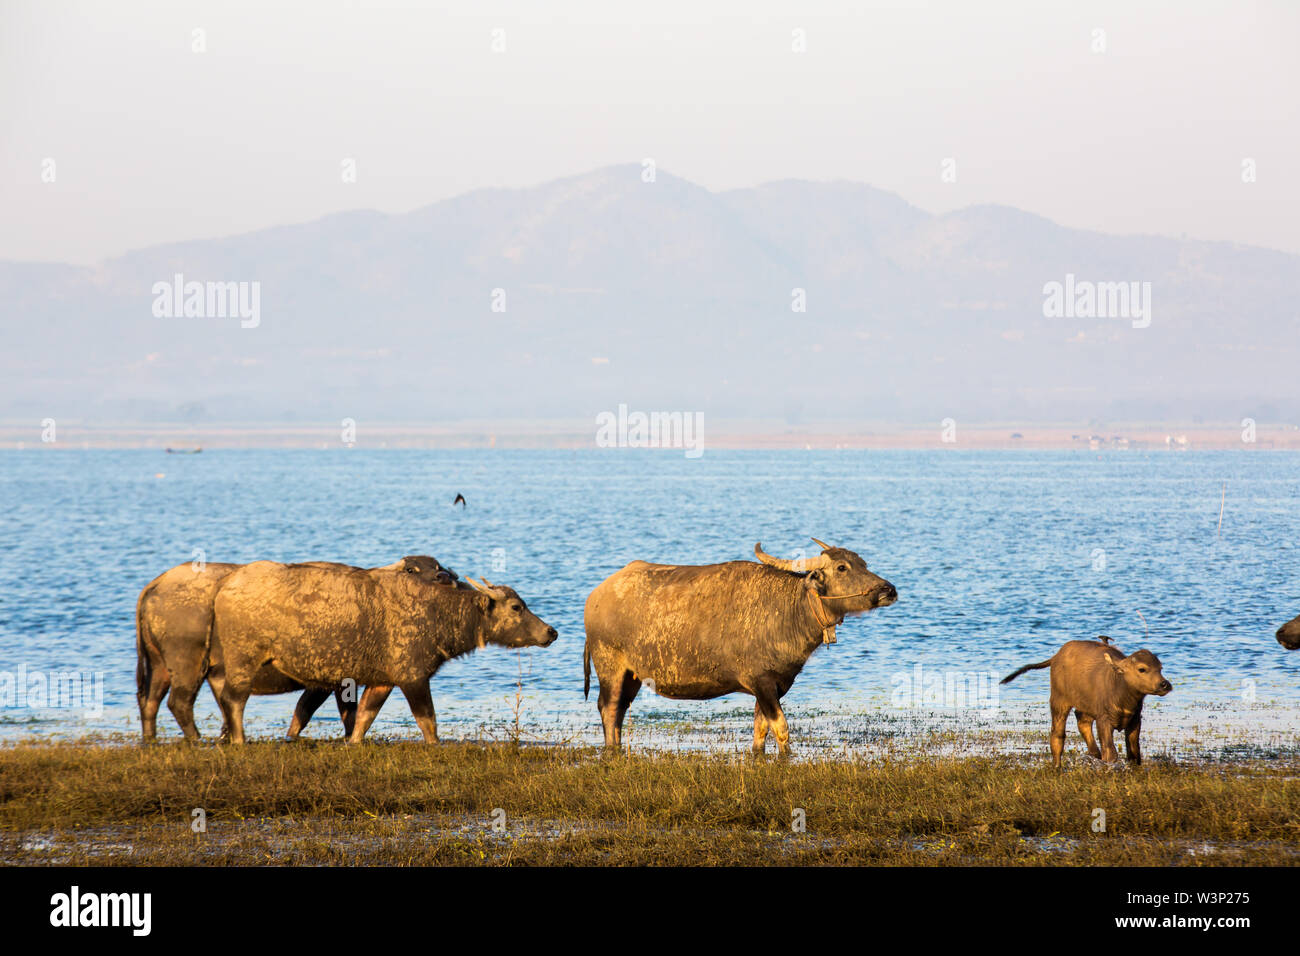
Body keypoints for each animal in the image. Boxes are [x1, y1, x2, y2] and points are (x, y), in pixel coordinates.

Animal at [135, 555, 458, 740]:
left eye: (438, 566)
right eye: (411, 569)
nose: (444, 578)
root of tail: (156, 584)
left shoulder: (341, 681)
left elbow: (339, 712)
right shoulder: (326, 680)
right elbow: (307, 709)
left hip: (161, 665)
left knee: (150, 701)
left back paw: (152, 740)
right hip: (188, 664)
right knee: (180, 702)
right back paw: (198, 740)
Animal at [209, 562, 557, 743]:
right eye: (517, 607)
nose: (551, 632)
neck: (438, 614)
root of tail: (225, 588)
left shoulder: (383, 680)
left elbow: (364, 717)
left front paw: (353, 743)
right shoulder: (413, 677)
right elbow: (428, 721)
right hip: (244, 661)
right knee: (233, 700)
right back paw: (239, 740)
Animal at [583, 539, 897, 754]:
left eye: (864, 563)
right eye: (842, 567)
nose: (888, 590)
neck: (787, 611)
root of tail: (595, 596)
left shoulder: (774, 686)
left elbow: (761, 730)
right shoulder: (761, 682)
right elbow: (781, 729)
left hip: (632, 676)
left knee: (620, 711)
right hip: (610, 668)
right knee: (609, 709)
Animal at [1000, 638, 1173, 767]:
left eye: (1160, 668)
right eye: (1142, 669)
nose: (1164, 684)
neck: (1121, 693)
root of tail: (1055, 657)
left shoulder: (1135, 719)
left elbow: (1134, 752)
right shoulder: (1104, 720)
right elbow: (1111, 752)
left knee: (1082, 720)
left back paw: (1094, 753)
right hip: (1059, 700)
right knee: (1058, 733)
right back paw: (1057, 766)